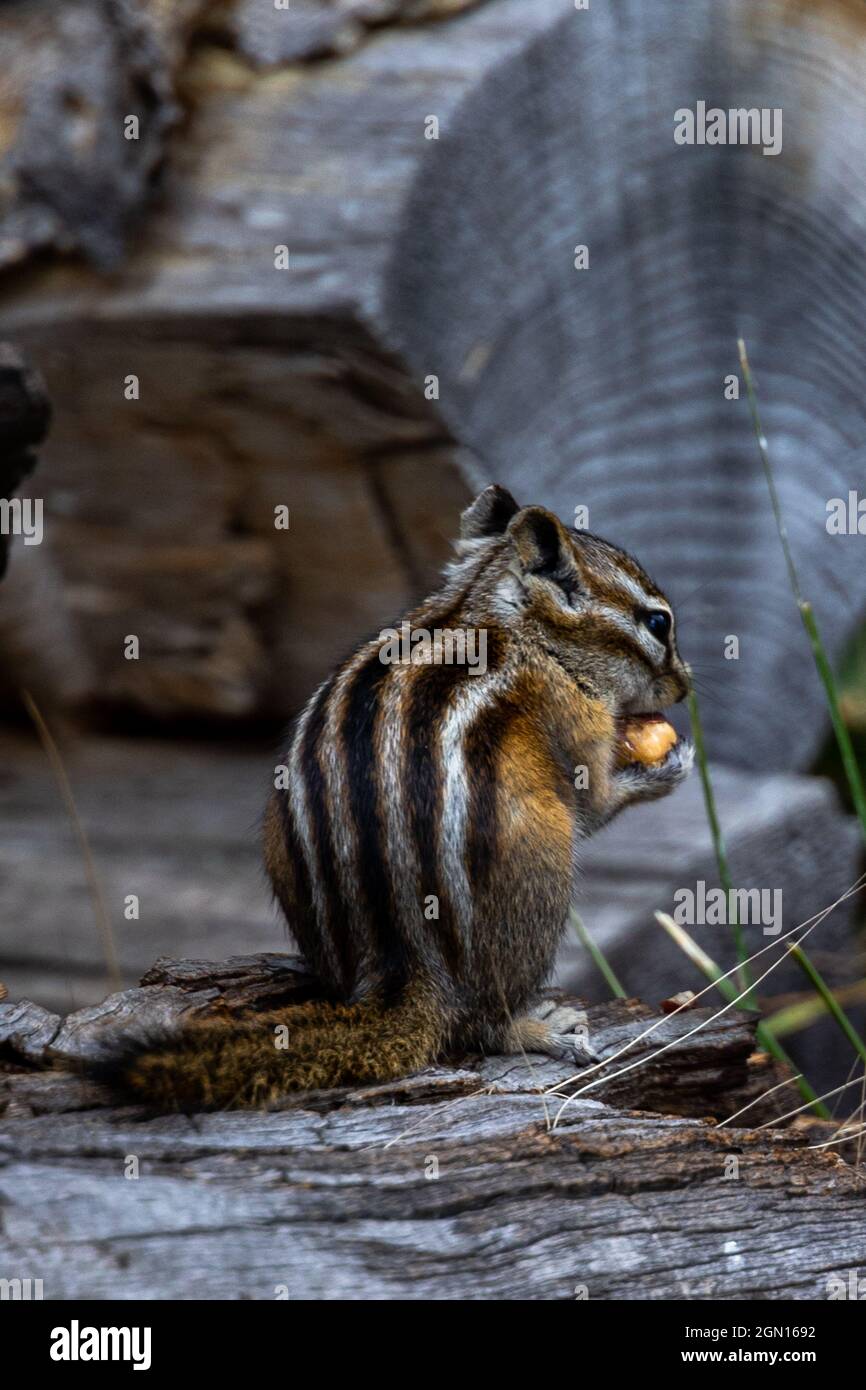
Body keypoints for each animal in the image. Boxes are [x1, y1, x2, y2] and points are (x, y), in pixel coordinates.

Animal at [117, 487, 693, 1110]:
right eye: (657, 622)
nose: (685, 686)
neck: (498, 618)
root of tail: (405, 964)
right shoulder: (572, 719)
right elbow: (599, 799)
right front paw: (669, 766)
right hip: (543, 868)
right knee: (481, 1025)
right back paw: (538, 1028)